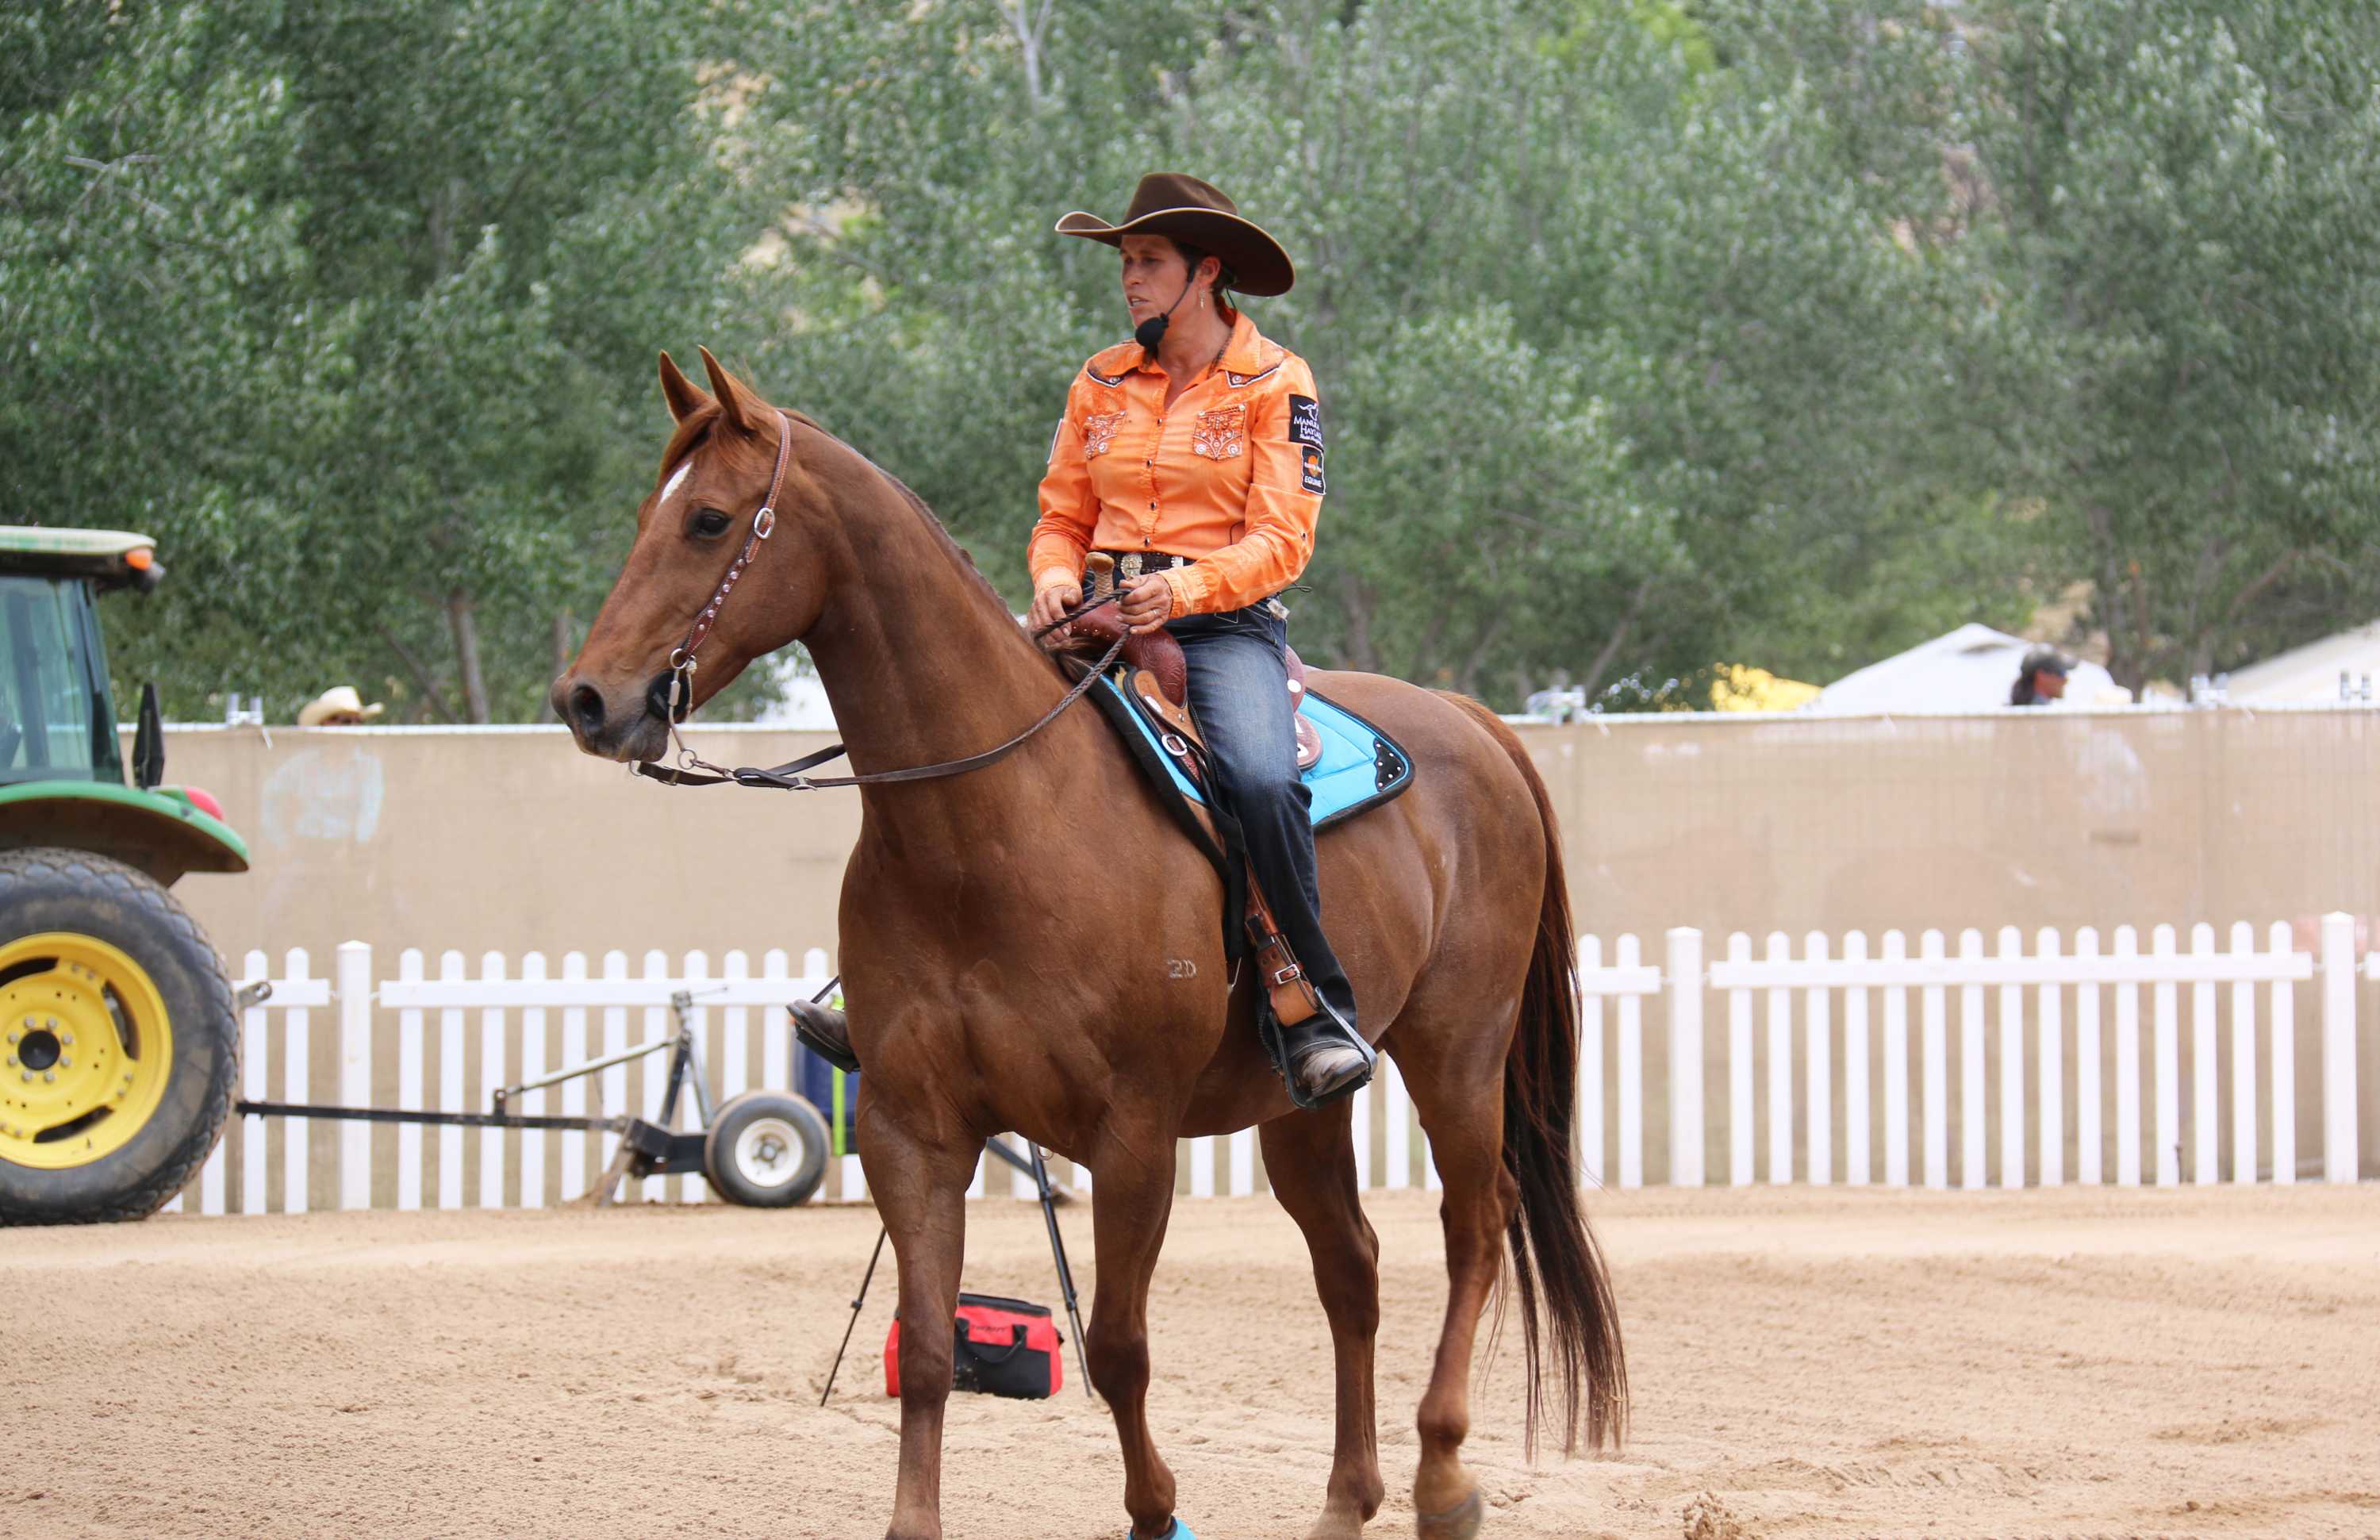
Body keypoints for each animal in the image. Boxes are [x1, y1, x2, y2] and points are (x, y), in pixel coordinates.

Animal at [552, 348, 1625, 1540]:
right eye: (647, 514)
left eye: (707, 519)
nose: (589, 698)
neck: (991, 824)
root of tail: (1472, 722)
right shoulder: (910, 1129)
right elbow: (930, 1351)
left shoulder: (1133, 1135)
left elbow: (1116, 1346)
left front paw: (1158, 1513)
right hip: (1303, 1105)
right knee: (1352, 1267)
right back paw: (1347, 1501)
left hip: (1459, 1054)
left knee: (1475, 1227)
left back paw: (1443, 1481)